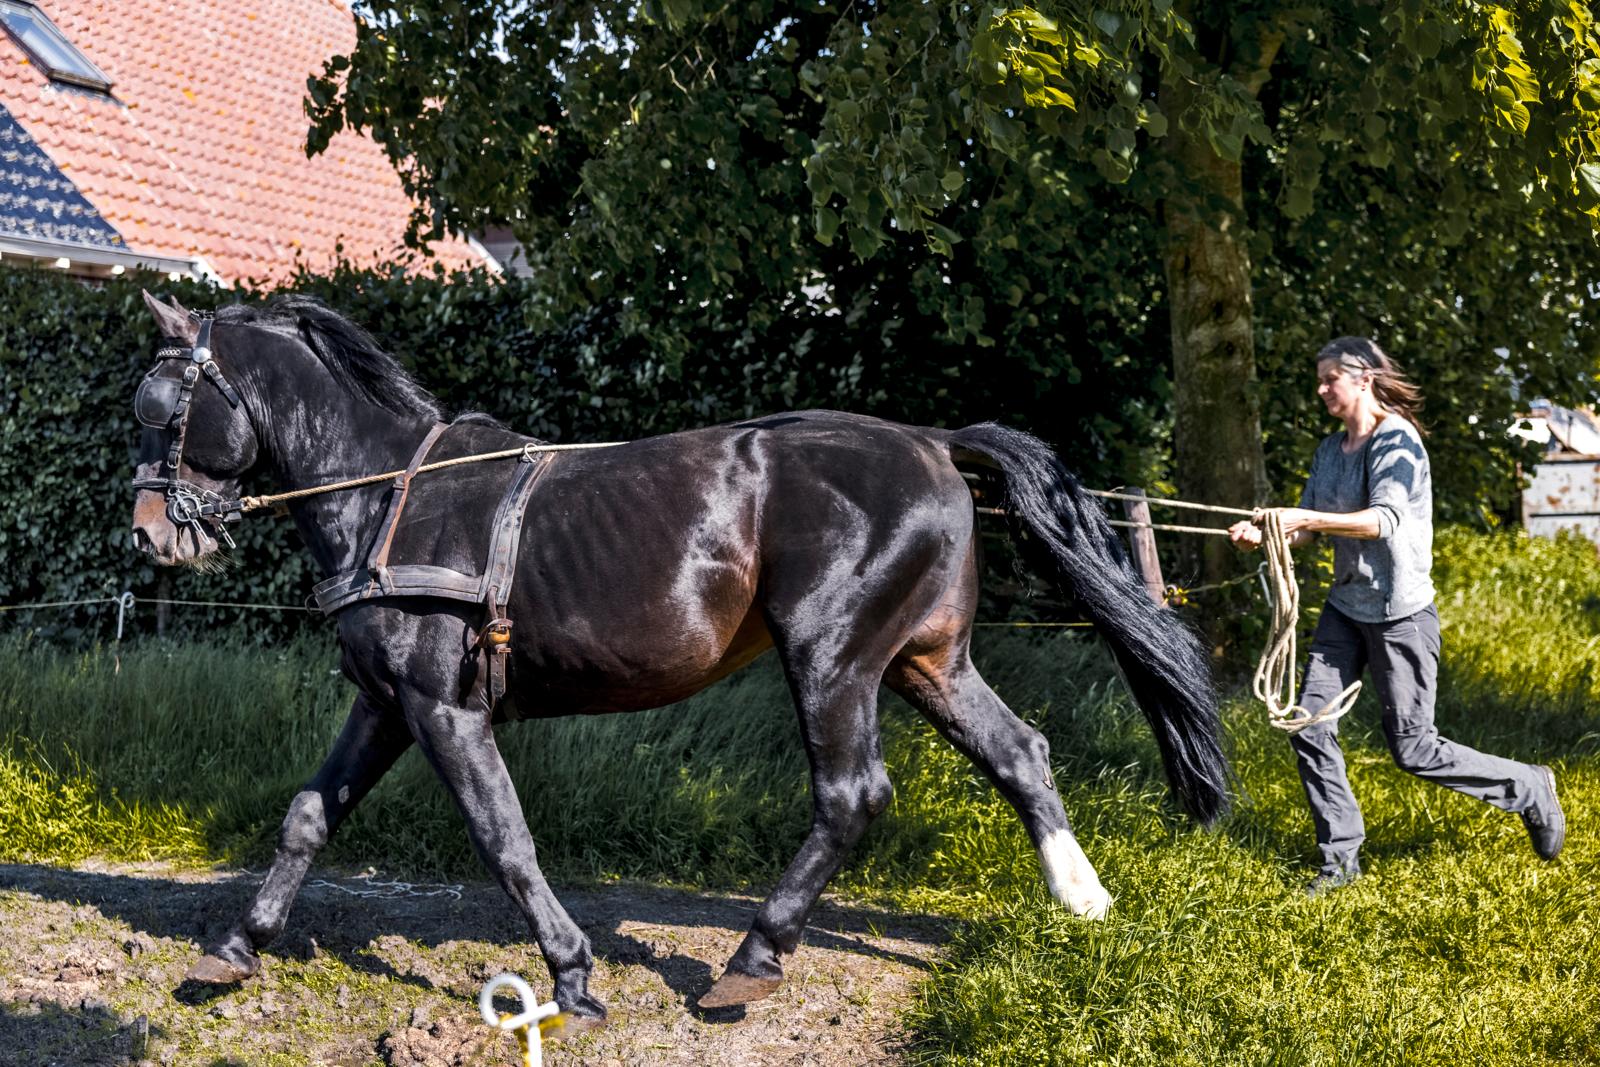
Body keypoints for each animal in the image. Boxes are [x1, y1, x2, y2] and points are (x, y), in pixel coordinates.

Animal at [129, 290, 1227, 1025]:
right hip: (925, 661)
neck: (392, 494)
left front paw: (572, 974)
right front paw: (234, 947)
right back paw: (1083, 901)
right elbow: (309, 815)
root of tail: (931, 441)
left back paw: (751, 959)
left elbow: (504, 837)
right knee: (1020, 753)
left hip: (832, 656)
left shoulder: (444, 708)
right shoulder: (386, 701)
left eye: (162, 404)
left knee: (851, 795)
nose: (149, 535)